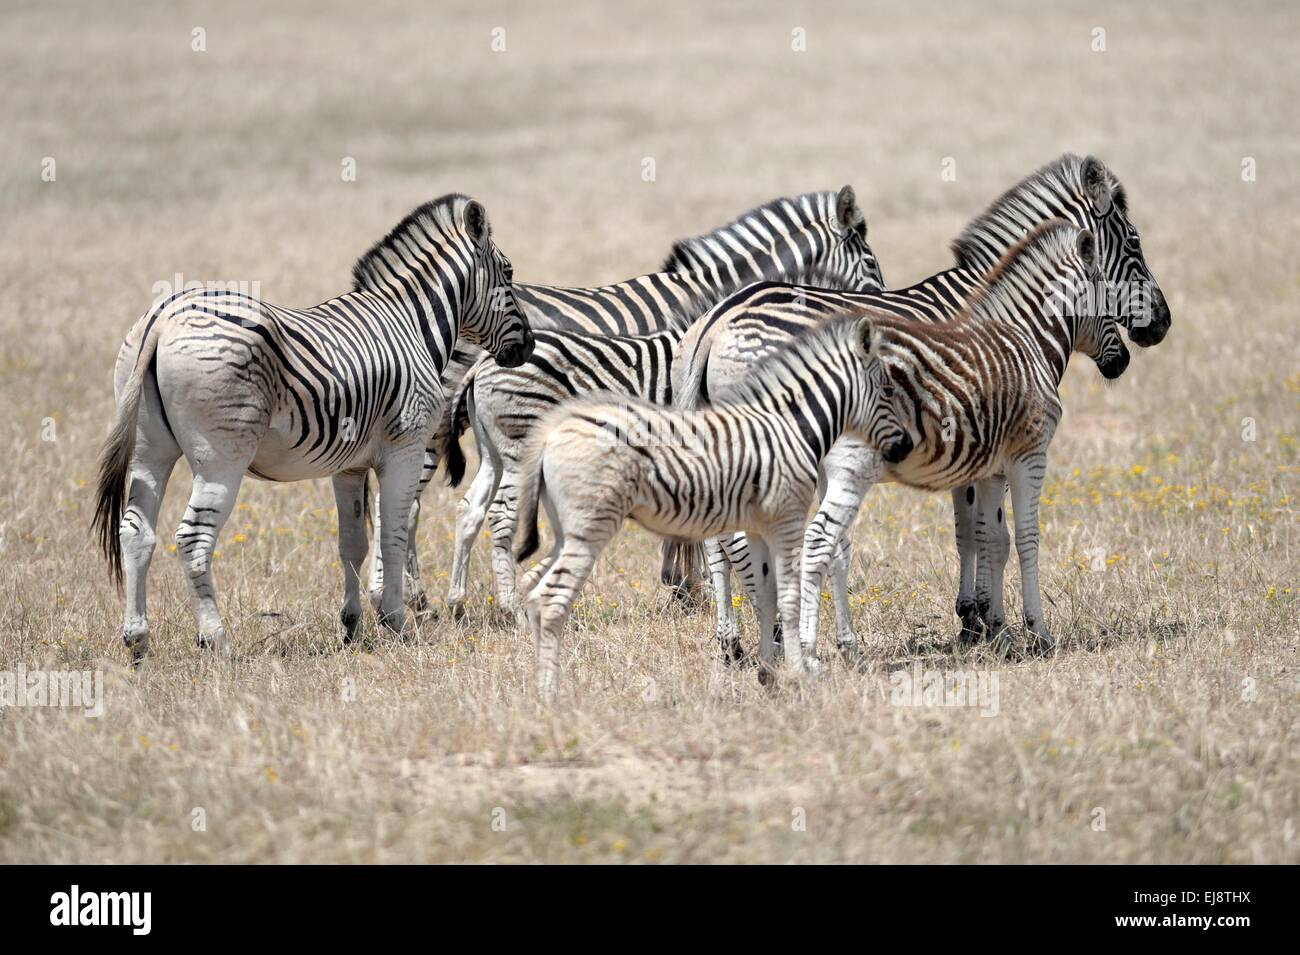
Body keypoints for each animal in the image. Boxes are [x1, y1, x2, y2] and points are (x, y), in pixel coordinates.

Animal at [91, 195, 533, 661]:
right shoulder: (406, 449)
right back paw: (219, 642)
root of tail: (166, 315)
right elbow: (392, 536)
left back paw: (137, 641)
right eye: (508, 273)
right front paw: (396, 622)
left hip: (149, 449)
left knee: (136, 532)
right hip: (221, 458)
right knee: (193, 539)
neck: (410, 323)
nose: (528, 346)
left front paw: (353, 625)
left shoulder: (350, 465)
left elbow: (353, 543)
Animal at [367, 186, 886, 609]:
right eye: (872, 265)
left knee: (450, 507)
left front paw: (683, 581)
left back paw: (436, 599)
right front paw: (688, 584)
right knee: (406, 504)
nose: (879, 319)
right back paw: (403, 596)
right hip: (435, 424)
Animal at [512, 314, 913, 699]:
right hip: (592, 526)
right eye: (889, 391)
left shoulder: (759, 525)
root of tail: (548, 438)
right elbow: (788, 596)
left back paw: (539, 686)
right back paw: (550, 695)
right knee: (552, 597)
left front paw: (769, 672)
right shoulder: (786, 520)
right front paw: (798, 672)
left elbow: (766, 593)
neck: (789, 427)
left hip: (567, 530)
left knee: (535, 589)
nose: (906, 447)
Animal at [675, 154, 1171, 659]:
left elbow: (975, 531)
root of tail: (716, 323)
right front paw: (979, 618)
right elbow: (979, 531)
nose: (1162, 325)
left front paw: (978, 619)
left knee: (721, 540)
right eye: (1134, 243)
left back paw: (734, 641)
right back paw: (776, 633)